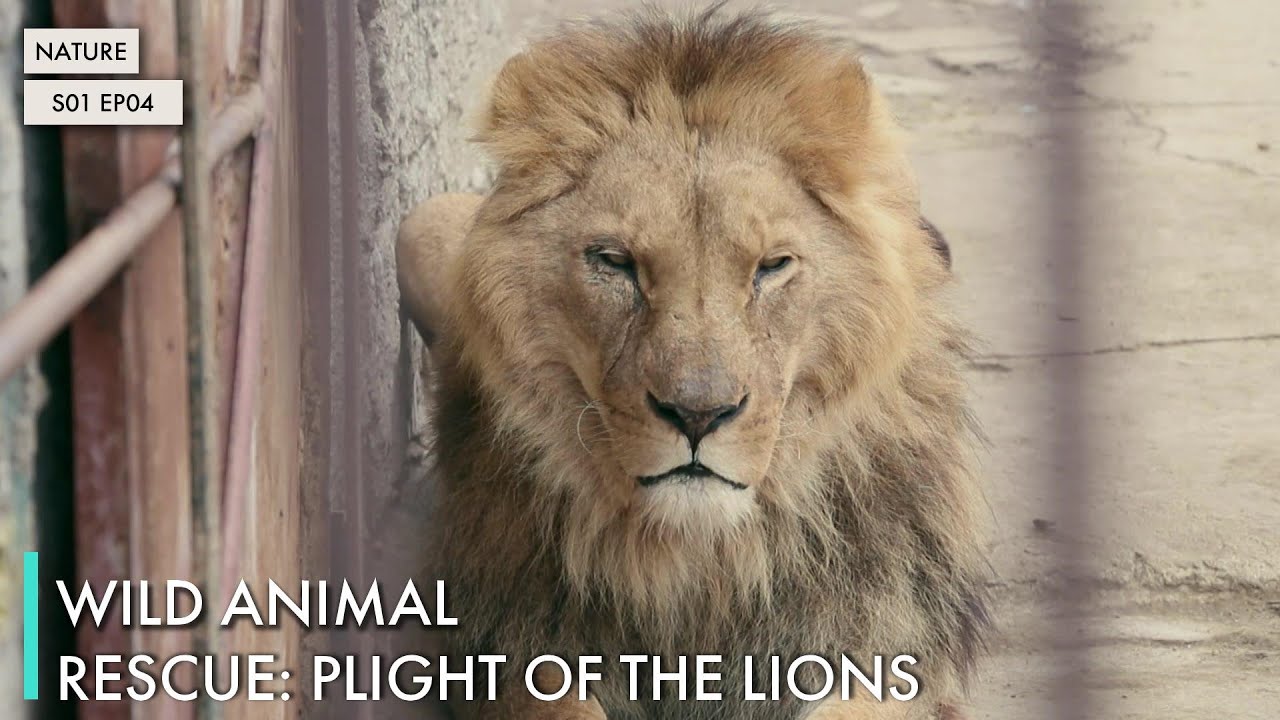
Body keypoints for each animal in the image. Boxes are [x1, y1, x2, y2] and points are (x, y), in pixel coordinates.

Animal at [396, 8, 988, 720]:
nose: (699, 415)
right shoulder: (503, 651)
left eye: (772, 266)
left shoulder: (899, 652)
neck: (700, 562)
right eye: (614, 262)